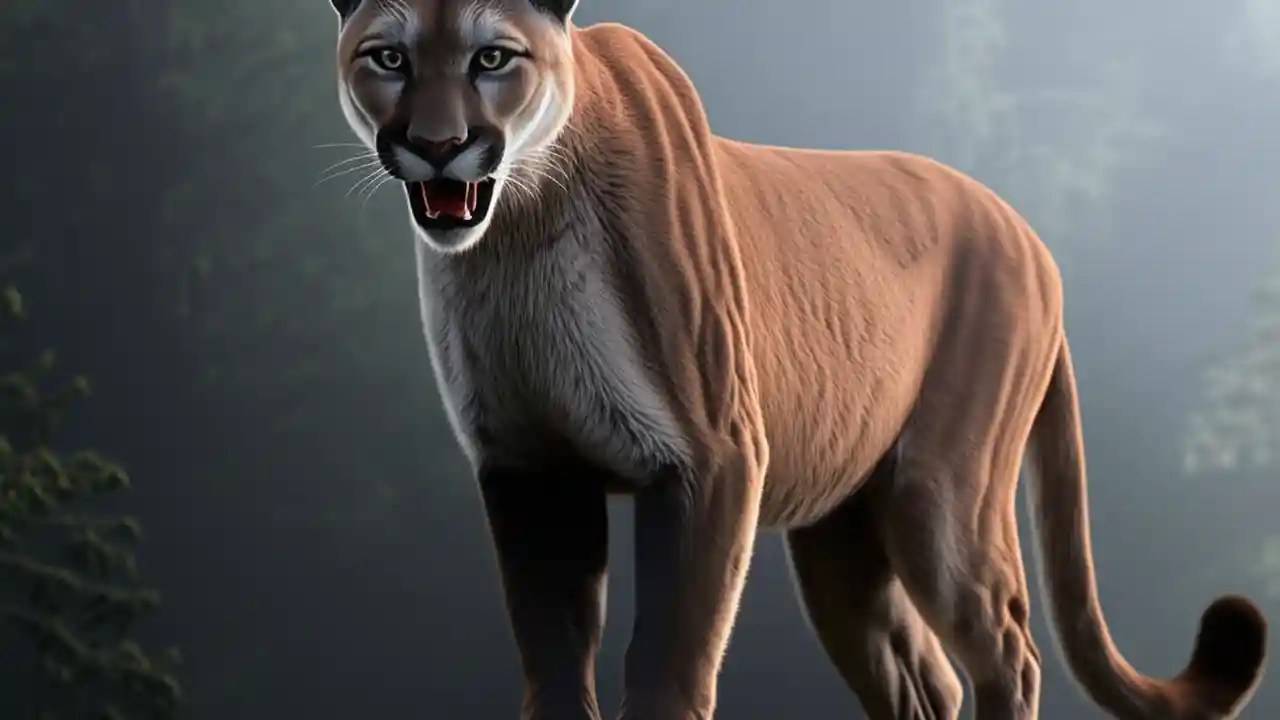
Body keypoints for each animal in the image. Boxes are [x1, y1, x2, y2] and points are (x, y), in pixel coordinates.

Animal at [327, 1, 1269, 718]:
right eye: (388, 57)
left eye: (493, 56)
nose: (438, 144)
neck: (519, 232)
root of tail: (1029, 235)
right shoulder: (529, 471)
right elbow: (555, 669)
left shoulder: (710, 459)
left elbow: (666, 664)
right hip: (844, 534)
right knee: (921, 678)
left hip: (942, 494)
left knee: (1007, 649)